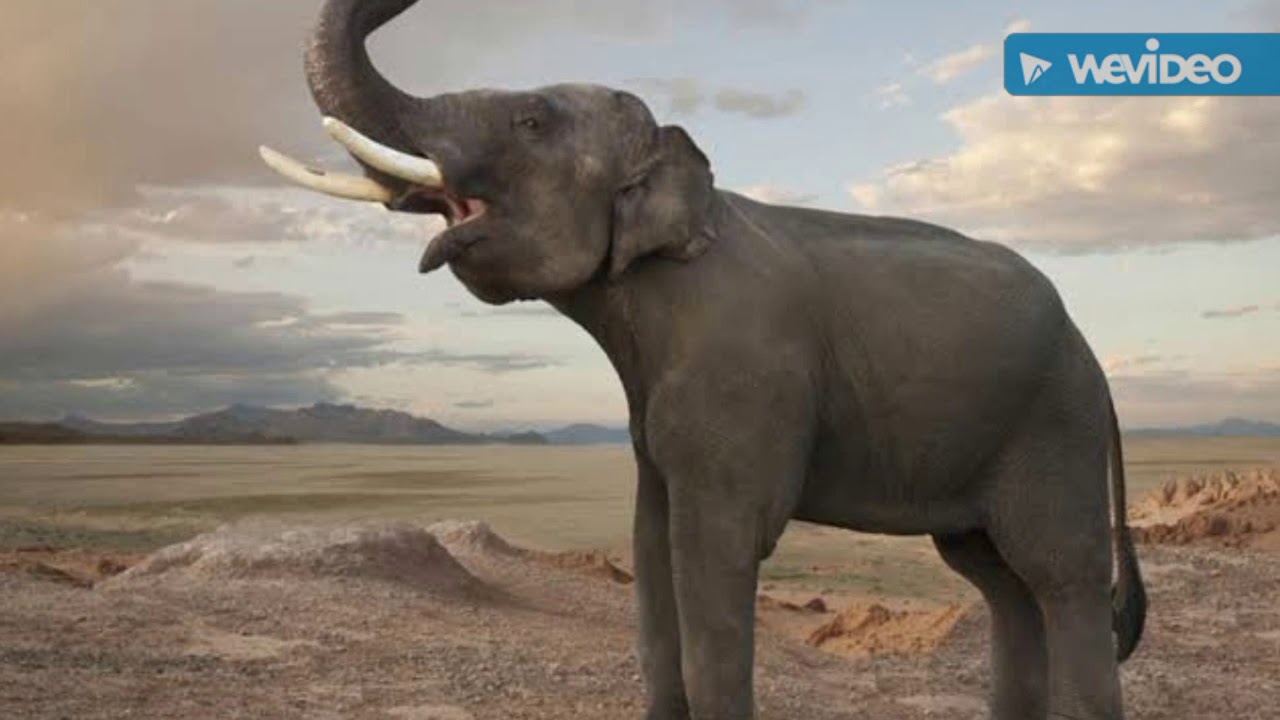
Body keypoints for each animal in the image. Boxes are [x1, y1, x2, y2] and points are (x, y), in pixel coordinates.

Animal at [262, 1, 1146, 718]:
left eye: (532, 122)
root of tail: (1093, 359)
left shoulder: (738, 380)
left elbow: (713, 554)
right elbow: (654, 550)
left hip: (1051, 428)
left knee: (1060, 578)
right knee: (999, 582)